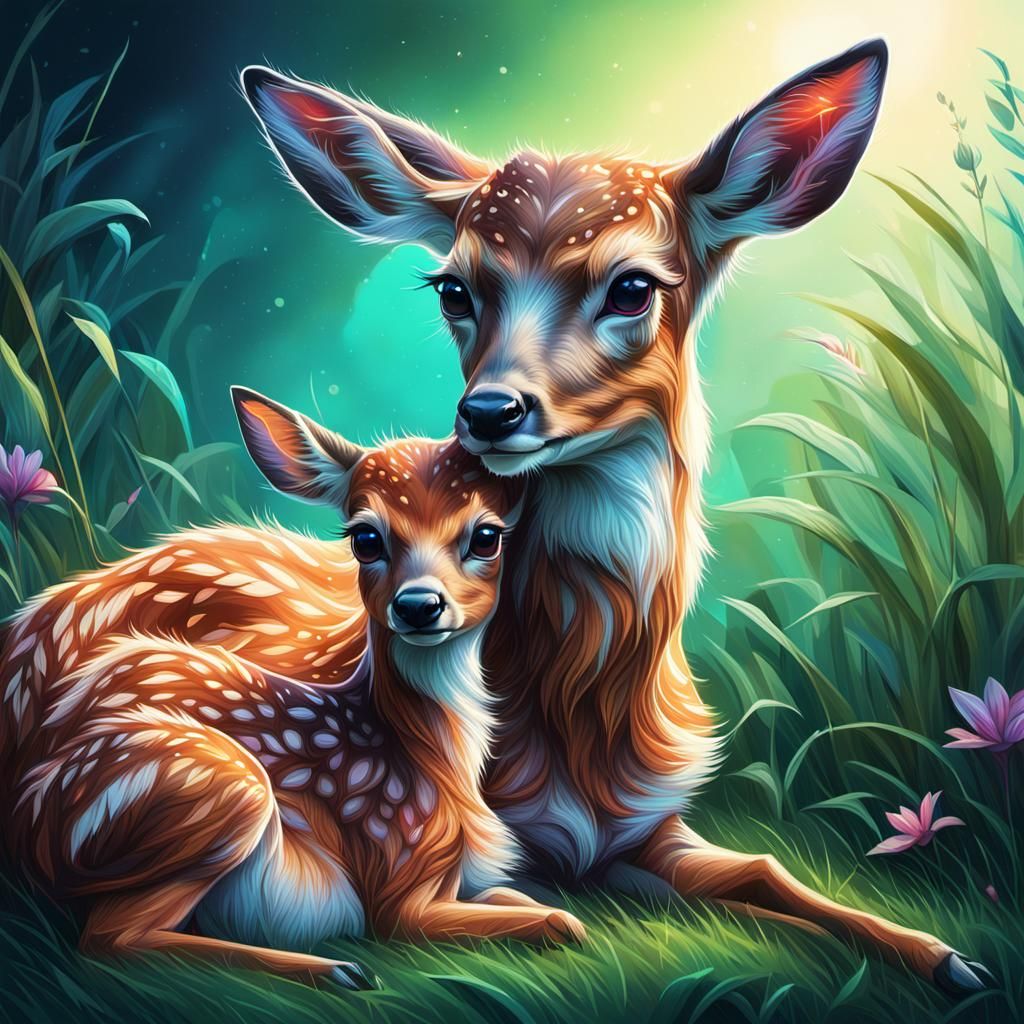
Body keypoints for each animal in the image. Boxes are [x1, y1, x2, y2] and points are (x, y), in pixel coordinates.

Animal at [0, 392, 585, 989]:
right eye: (365, 537)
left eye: (487, 536)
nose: (419, 605)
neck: (435, 763)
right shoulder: (398, 881)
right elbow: (556, 922)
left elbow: (519, 897)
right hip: (215, 783)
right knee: (106, 939)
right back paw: (337, 969)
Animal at [237, 38, 996, 995]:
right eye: (454, 288)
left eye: (632, 286)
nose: (488, 412)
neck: (584, 718)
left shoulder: (649, 825)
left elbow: (767, 870)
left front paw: (943, 956)